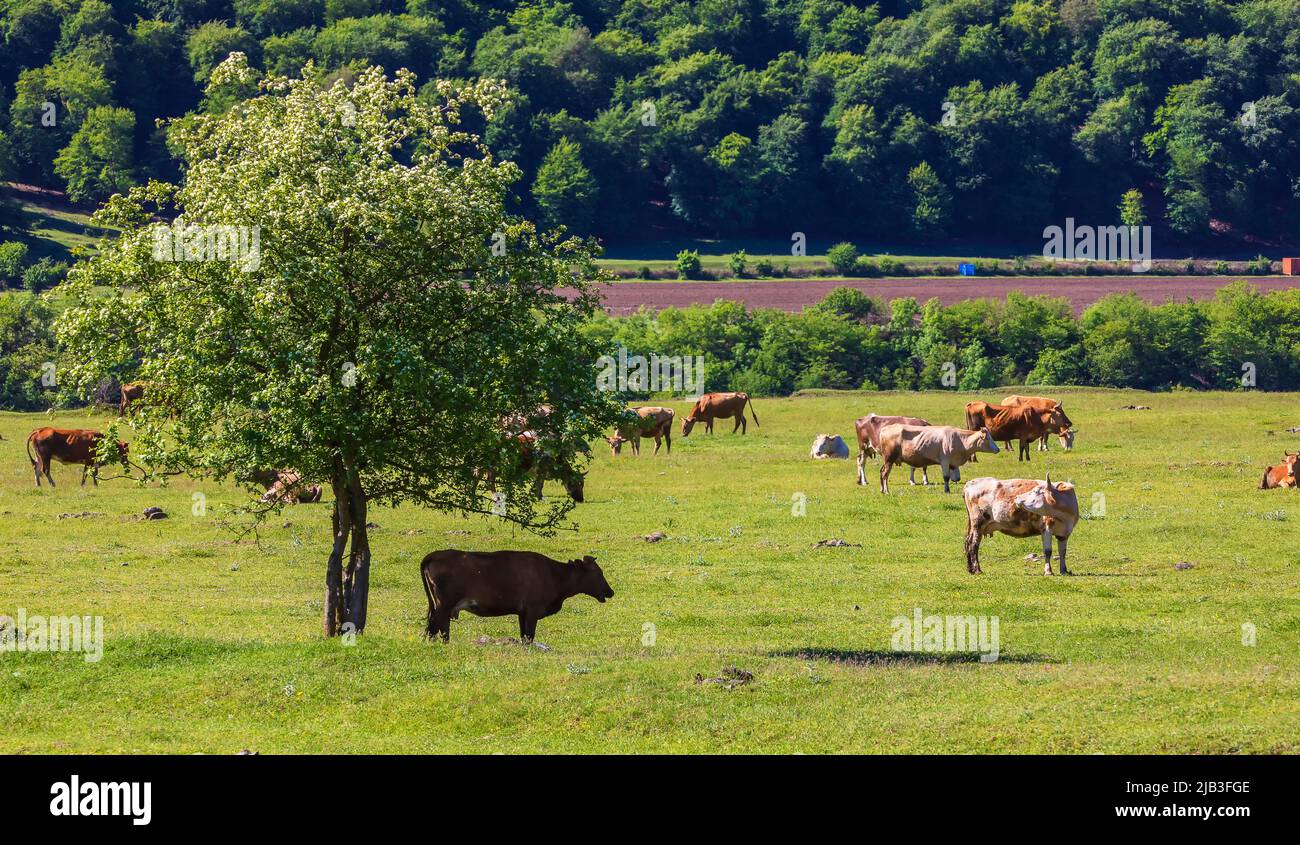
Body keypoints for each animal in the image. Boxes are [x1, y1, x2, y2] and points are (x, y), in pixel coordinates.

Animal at [420, 549, 614, 643]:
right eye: (598, 573)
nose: (610, 591)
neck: (553, 574)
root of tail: (435, 555)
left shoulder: (522, 613)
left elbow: (523, 636)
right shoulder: (533, 610)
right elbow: (529, 636)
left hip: (442, 607)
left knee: (440, 628)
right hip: (444, 605)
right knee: (434, 627)